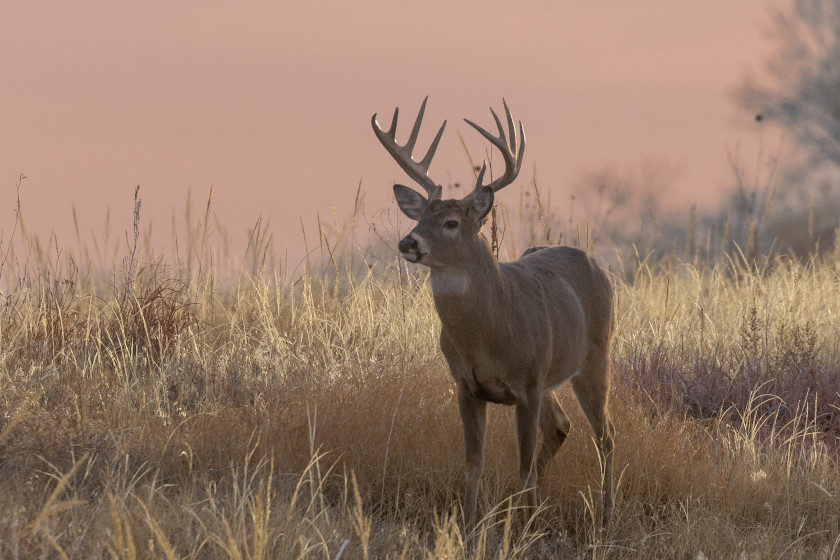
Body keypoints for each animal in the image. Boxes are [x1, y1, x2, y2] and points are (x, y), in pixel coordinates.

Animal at [371, 97, 615, 532]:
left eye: (451, 222)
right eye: (419, 217)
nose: (407, 242)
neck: (489, 333)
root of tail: (593, 263)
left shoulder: (528, 384)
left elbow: (522, 464)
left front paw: (524, 530)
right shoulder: (466, 386)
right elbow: (474, 463)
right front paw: (469, 527)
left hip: (595, 357)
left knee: (605, 435)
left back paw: (604, 518)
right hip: (552, 380)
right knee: (561, 427)